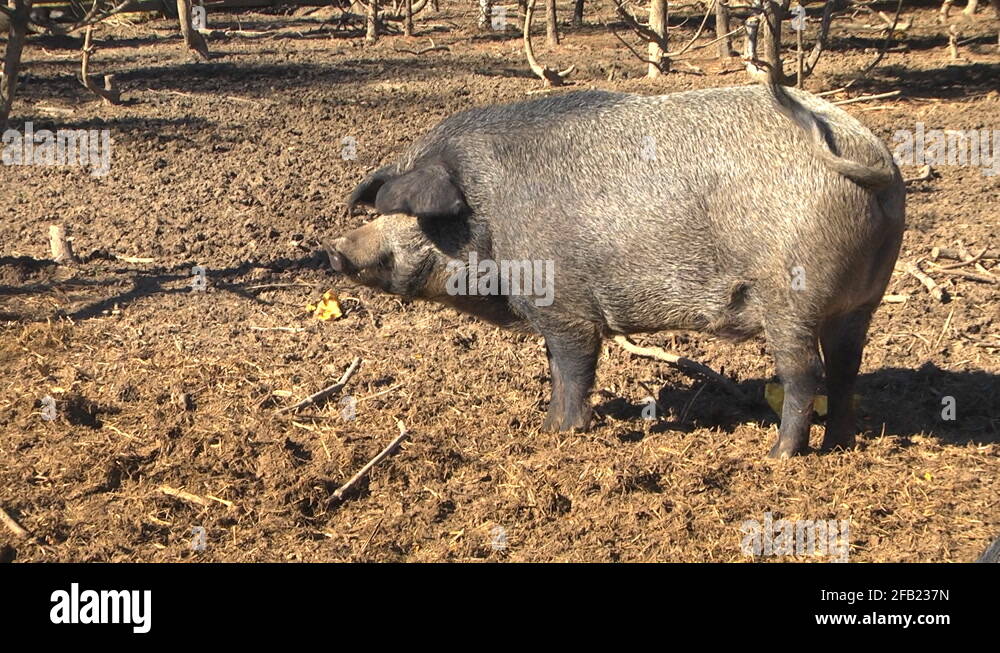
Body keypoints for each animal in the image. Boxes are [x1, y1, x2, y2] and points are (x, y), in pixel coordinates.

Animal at [327, 82, 905, 458]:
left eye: (413, 215)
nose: (336, 249)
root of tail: (869, 153)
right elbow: (556, 371)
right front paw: (545, 428)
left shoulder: (567, 306)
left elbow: (575, 369)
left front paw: (563, 436)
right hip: (865, 298)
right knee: (847, 367)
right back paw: (840, 444)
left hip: (790, 293)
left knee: (803, 371)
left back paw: (778, 456)